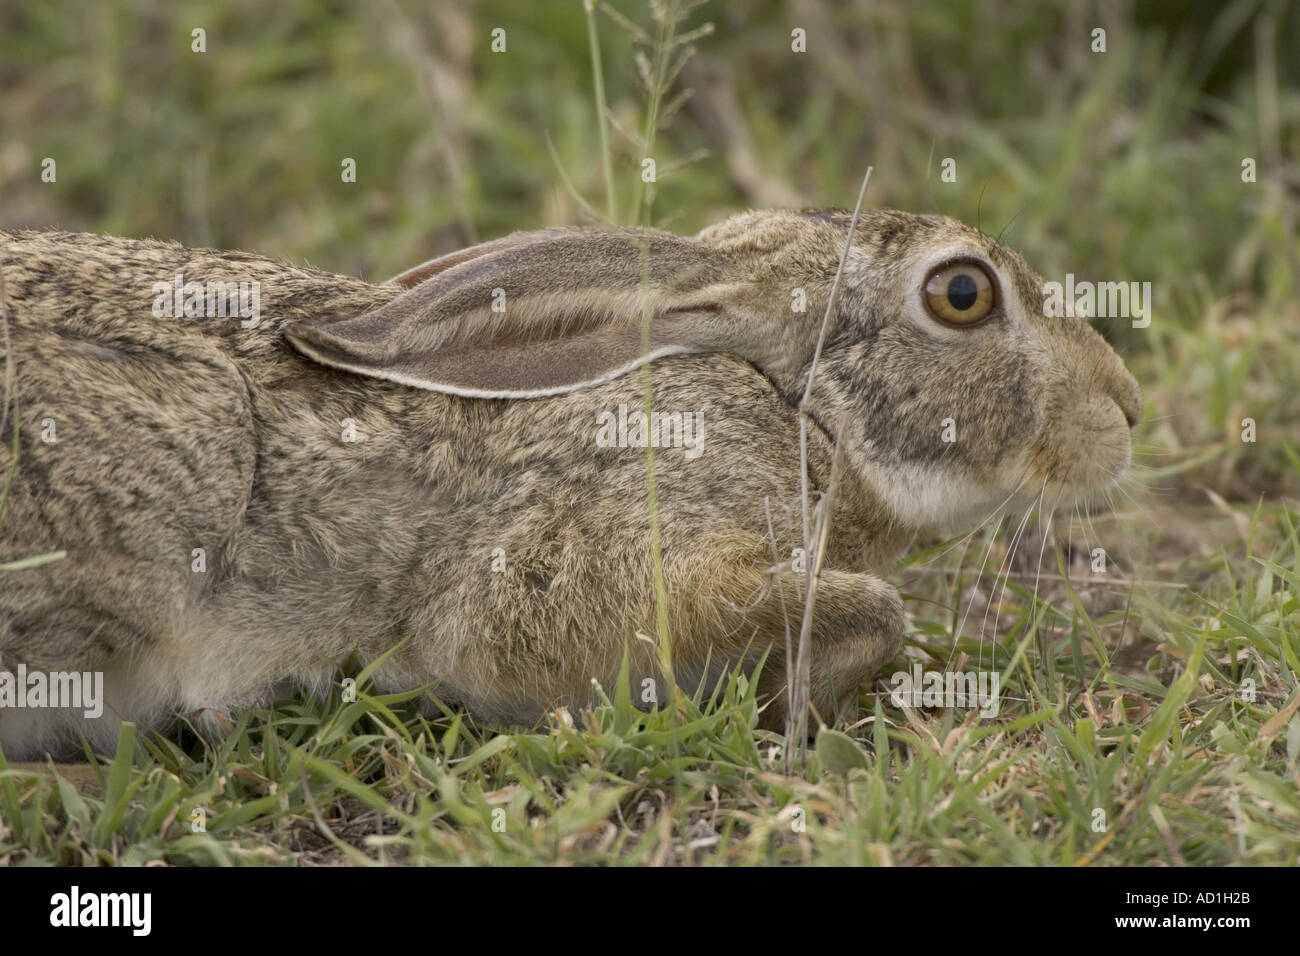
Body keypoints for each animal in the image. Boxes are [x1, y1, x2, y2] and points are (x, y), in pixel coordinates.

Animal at [0, 209, 1141, 759]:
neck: (797, 413)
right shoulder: (612, 552)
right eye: (963, 293)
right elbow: (873, 609)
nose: (1126, 407)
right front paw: (788, 707)